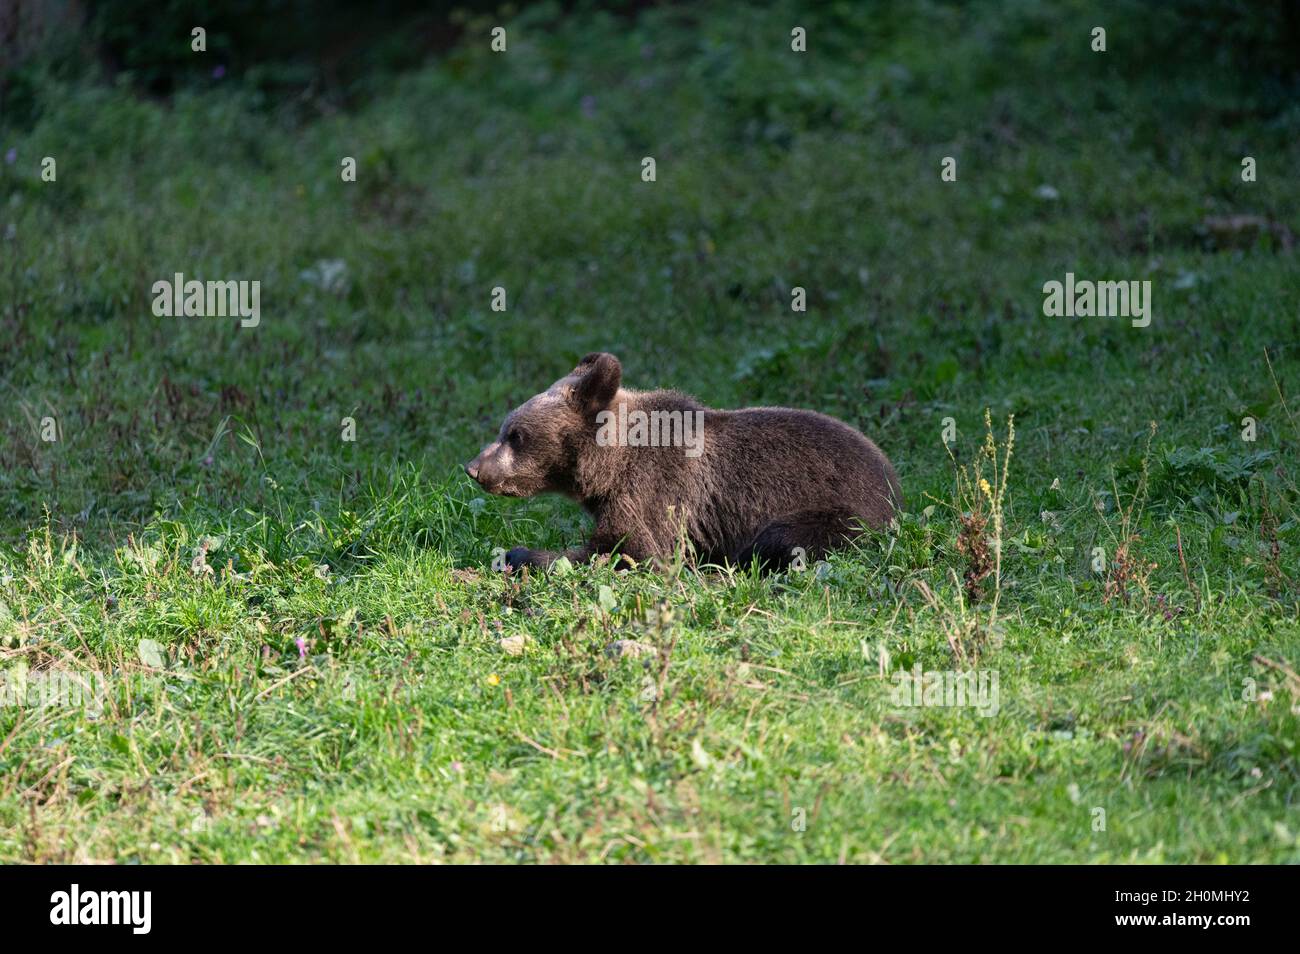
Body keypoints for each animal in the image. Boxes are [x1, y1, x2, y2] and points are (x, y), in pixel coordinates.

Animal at [465, 352, 902, 571]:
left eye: (515, 434)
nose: (474, 468)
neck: (606, 469)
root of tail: (893, 480)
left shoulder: (654, 492)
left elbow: (633, 549)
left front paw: (518, 553)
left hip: (843, 512)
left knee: (780, 539)